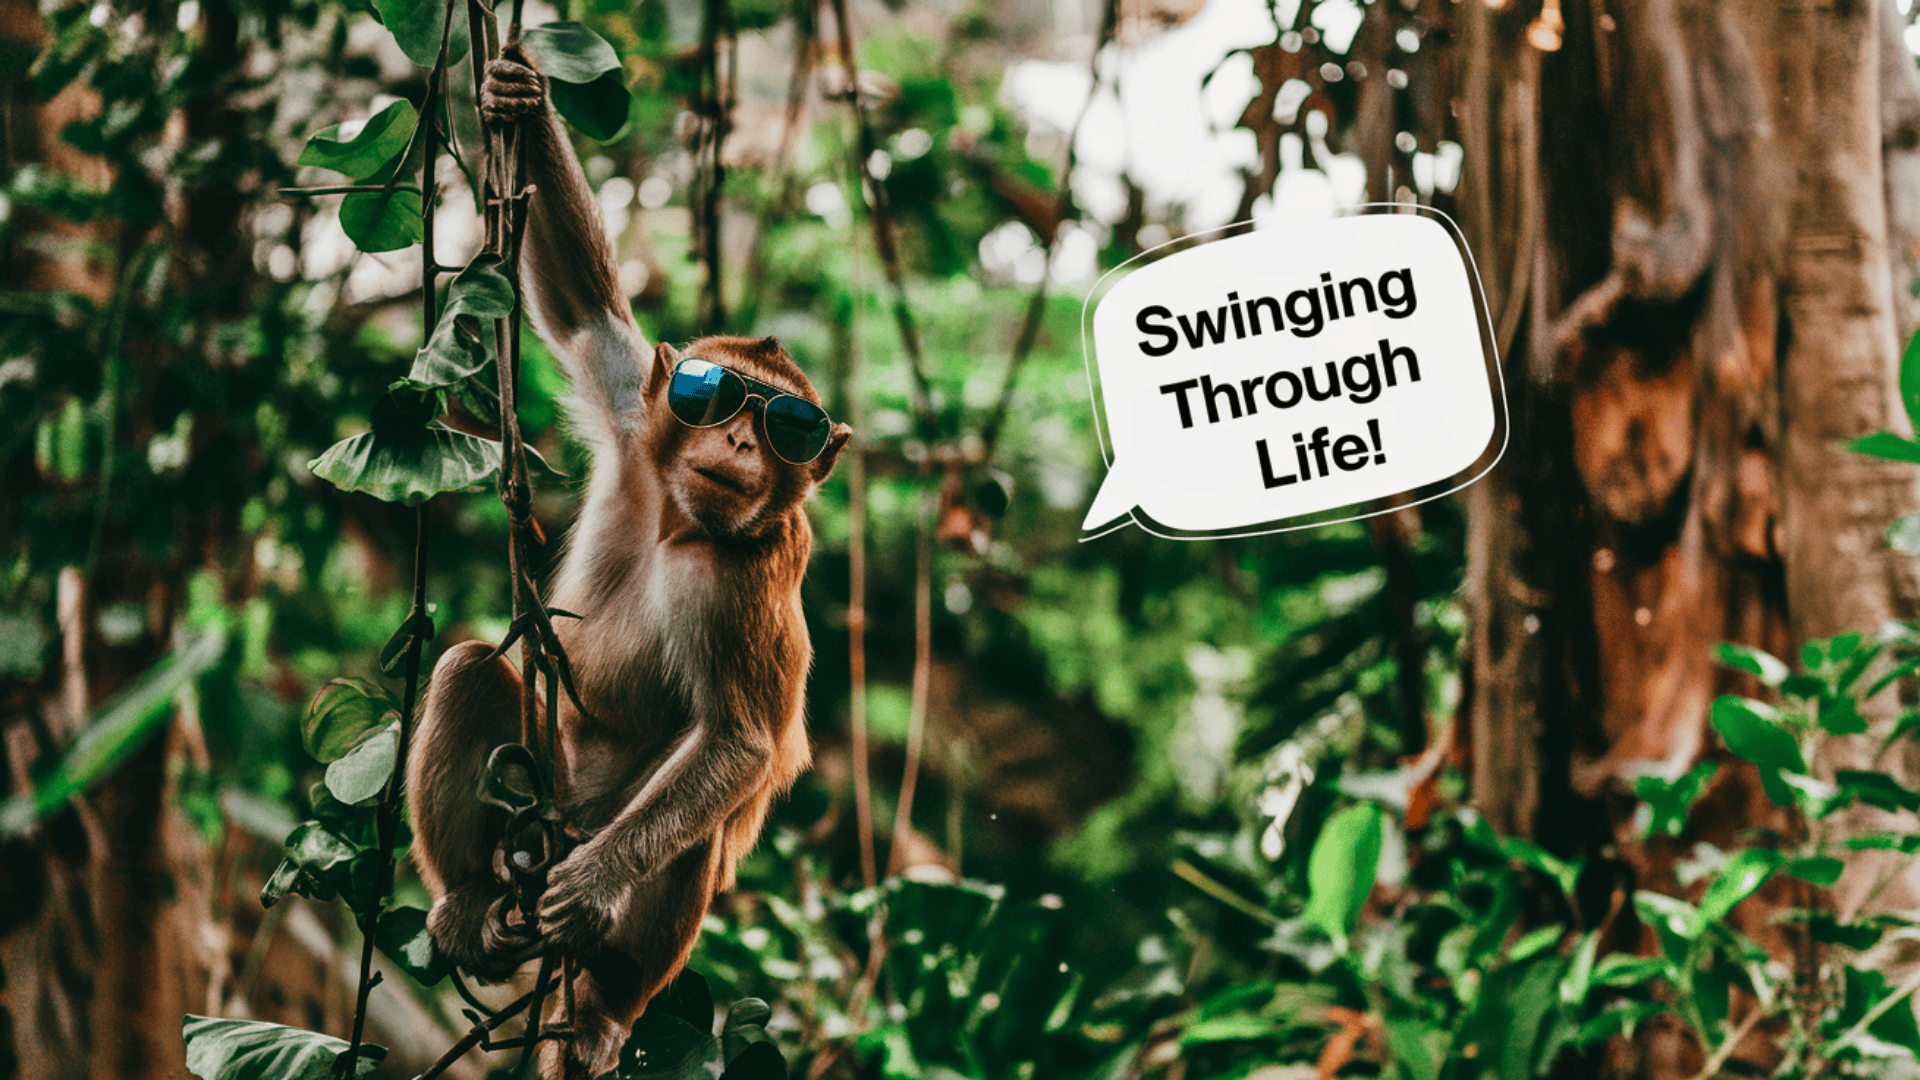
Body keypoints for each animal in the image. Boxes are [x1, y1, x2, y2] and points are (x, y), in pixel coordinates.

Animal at [405, 44, 852, 1079]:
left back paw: (604, 1008)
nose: (740, 440)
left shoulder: (741, 579)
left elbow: (739, 740)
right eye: (714, 393)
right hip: (538, 802)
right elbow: (584, 314)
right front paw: (518, 95)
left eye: (789, 426)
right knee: (473, 668)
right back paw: (469, 911)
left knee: (694, 827)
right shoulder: (636, 410)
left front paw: (601, 880)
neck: (682, 520)